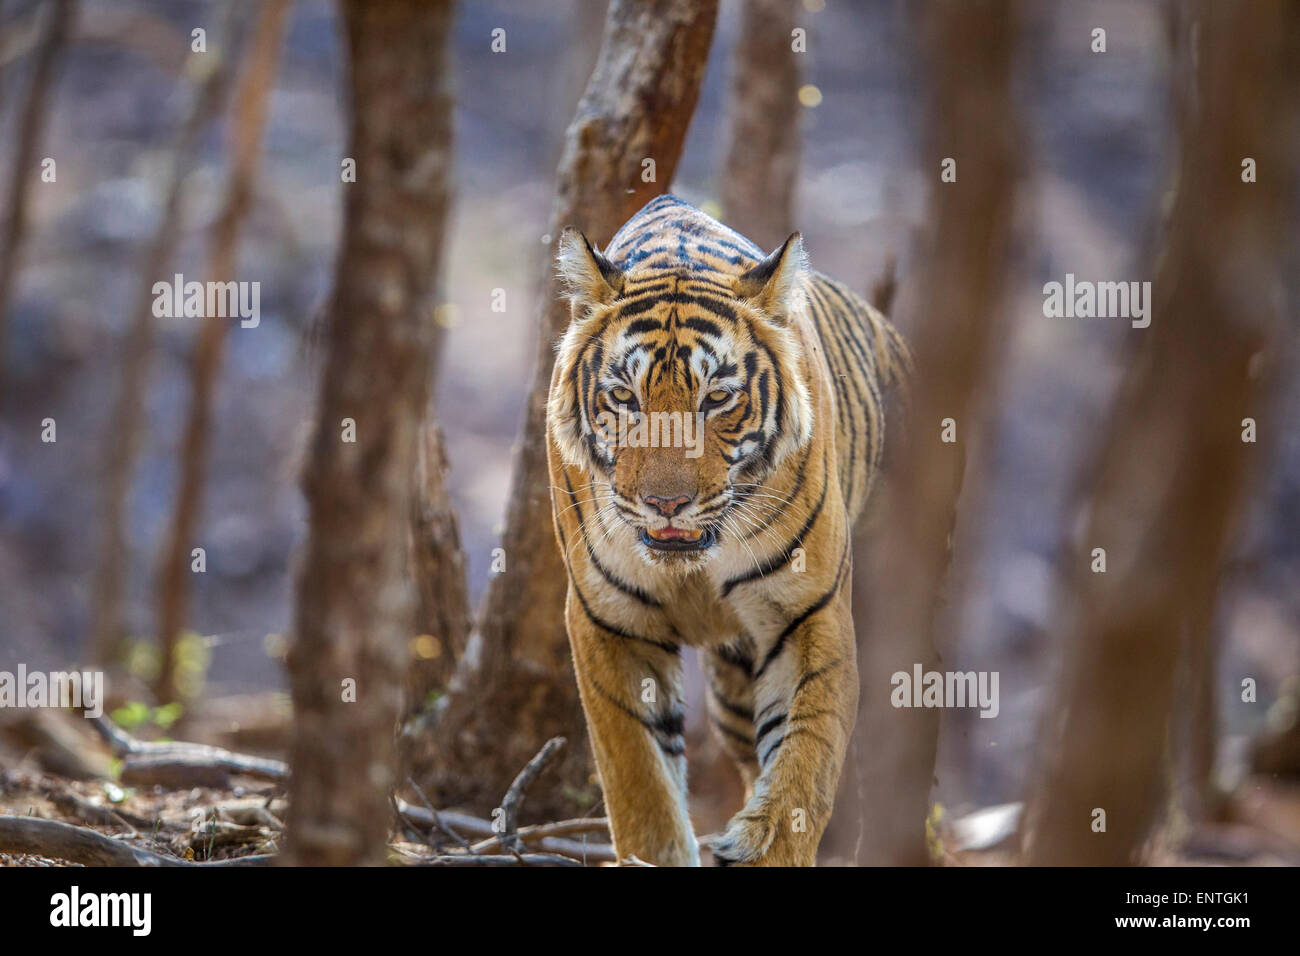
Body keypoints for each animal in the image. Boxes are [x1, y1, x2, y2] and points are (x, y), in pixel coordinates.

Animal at [546, 194, 910, 866]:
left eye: (716, 398)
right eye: (625, 397)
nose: (666, 503)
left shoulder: (809, 614)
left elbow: (803, 769)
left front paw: (763, 845)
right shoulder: (609, 620)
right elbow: (640, 783)